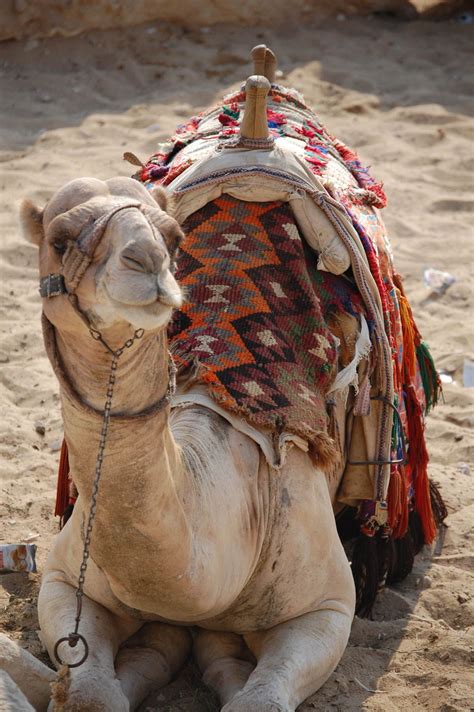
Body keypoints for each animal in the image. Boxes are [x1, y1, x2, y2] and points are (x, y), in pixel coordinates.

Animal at [1, 46, 442, 711]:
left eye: (172, 236)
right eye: (58, 238)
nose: (146, 265)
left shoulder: (325, 609)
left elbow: (258, 696)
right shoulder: (64, 581)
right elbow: (92, 693)